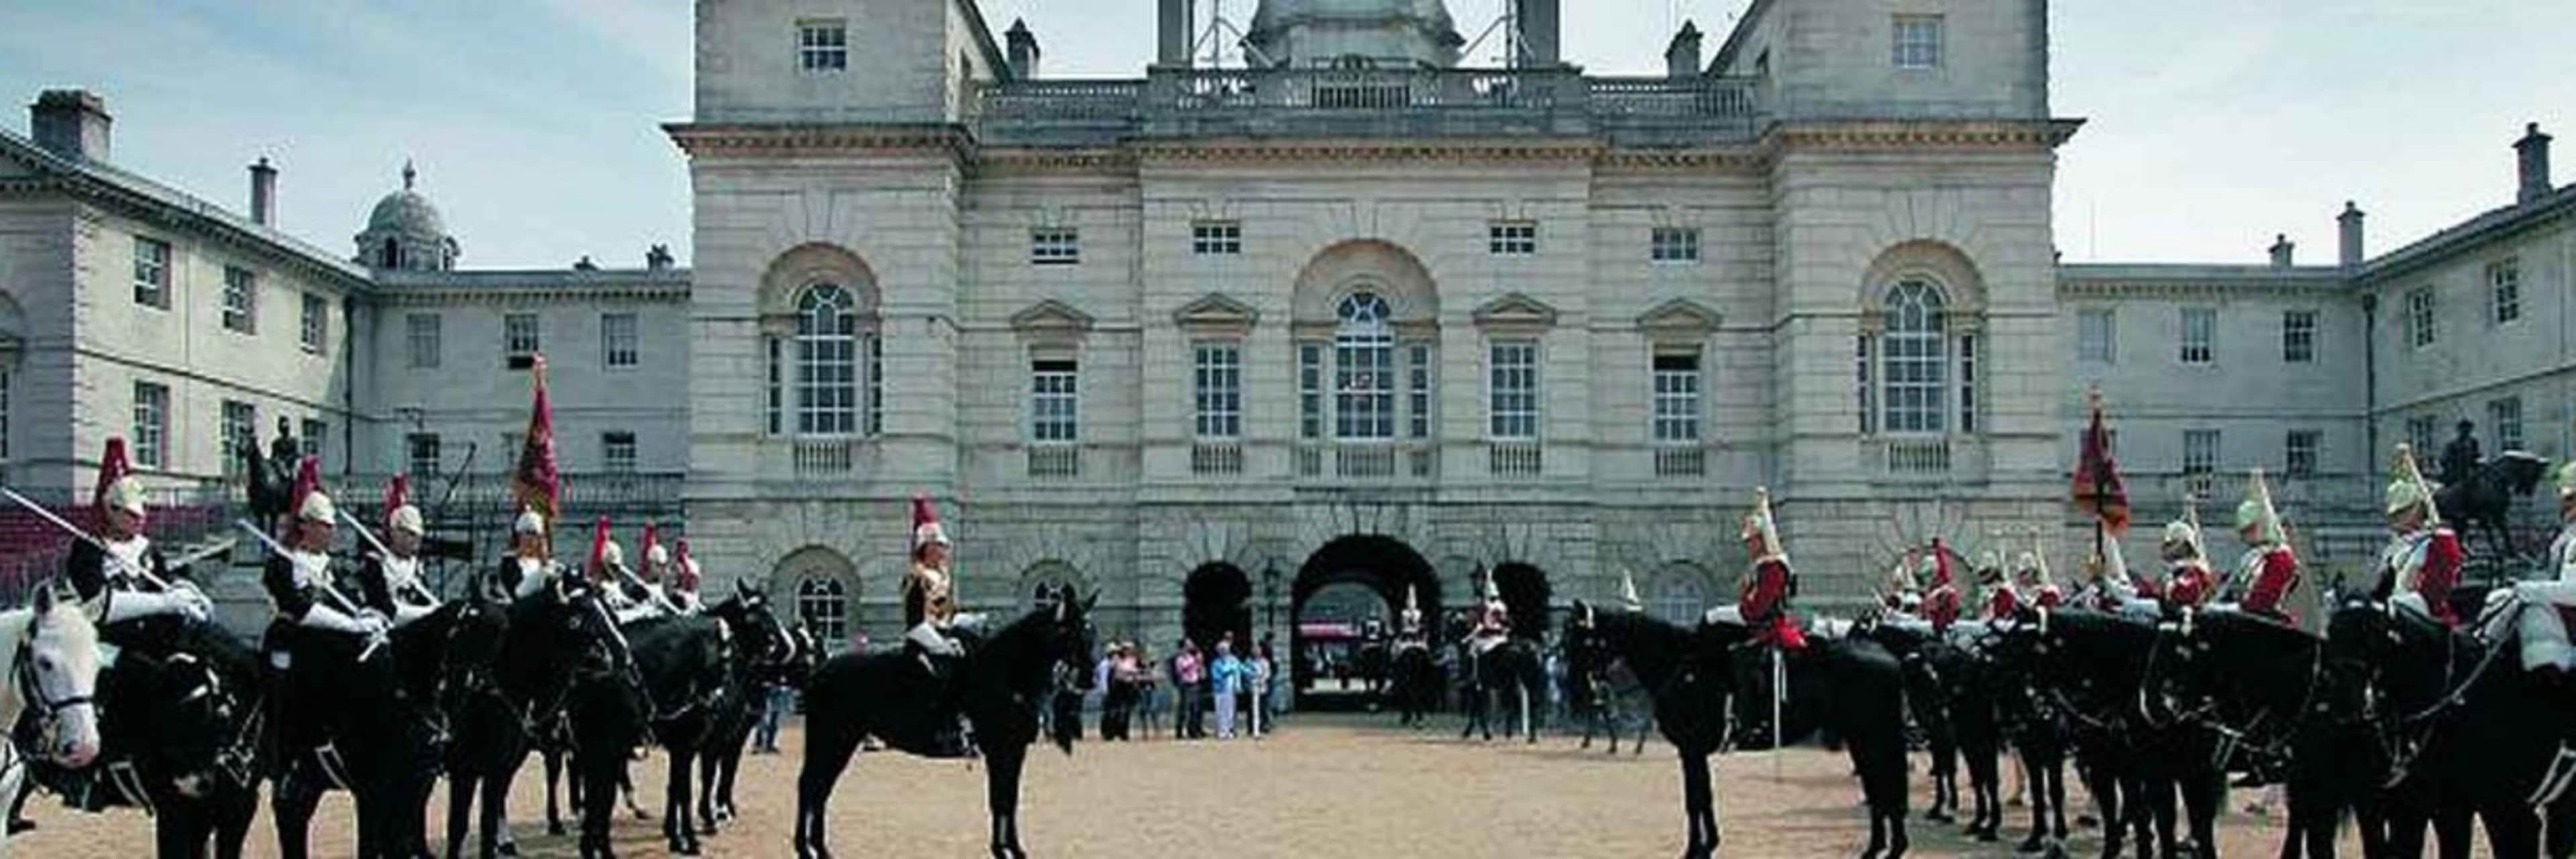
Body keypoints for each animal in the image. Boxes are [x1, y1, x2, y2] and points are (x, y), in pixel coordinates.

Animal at [793, 583, 1097, 856]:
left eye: (1090, 630)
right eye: (1071, 629)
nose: (1089, 678)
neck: (1006, 674)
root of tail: (821, 669)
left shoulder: (1014, 751)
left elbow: (1009, 798)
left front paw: (1011, 848)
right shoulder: (1001, 750)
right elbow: (1000, 799)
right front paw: (1003, 849)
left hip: (839, 742)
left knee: (820, 788)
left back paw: (819, 847)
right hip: (833, 739)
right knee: (811, 785)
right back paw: (806, 848)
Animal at [1546, 601, 1916, 856]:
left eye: (1582, 640)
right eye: (1568, 641)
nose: (1577, 696)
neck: (1681, 666)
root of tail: (1886, 654)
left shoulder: (1691, 748)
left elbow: (1695, 799)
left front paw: (1696, 848)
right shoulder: (1692, 751)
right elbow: (1701, 796)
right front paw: (1707, 844)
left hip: (1870, 734)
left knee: (1884, 782)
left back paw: (1890, 846)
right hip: (1862, 736)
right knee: (1878, 784)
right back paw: (1880, 847)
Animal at [2431, 448, 2555, 562]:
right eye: (2534, 473)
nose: (2529, 492)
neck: (2497, 481)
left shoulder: (2498, 515)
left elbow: (2505, 533)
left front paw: (2513, 554)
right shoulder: (2485, 517)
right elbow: (2491, 535)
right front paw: (2498, 554)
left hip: (2459, 521)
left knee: (2459, 538)